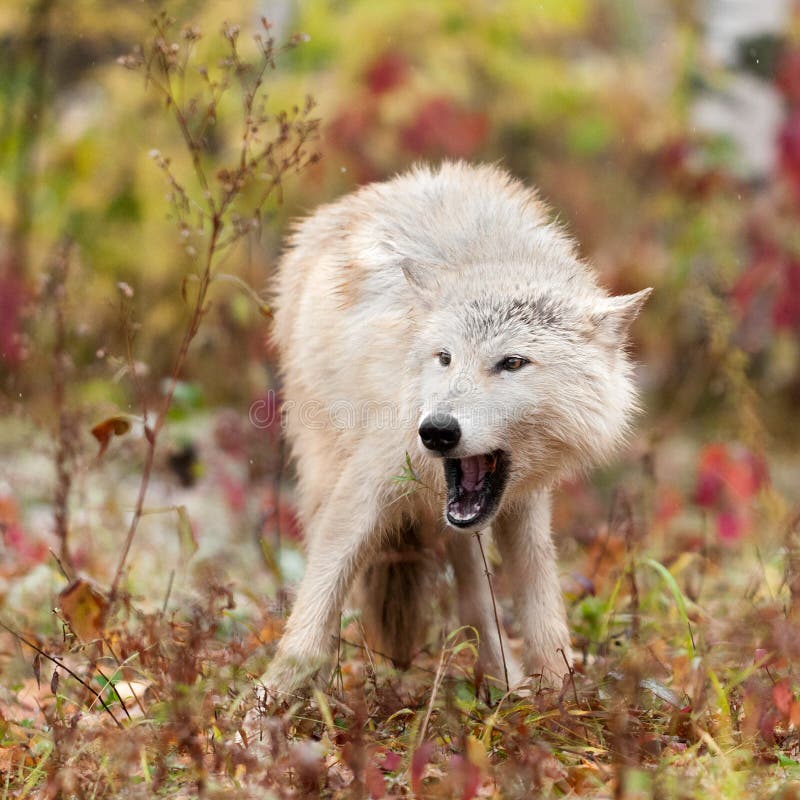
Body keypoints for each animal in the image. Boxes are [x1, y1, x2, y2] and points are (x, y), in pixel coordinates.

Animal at [265, 161, 650, 696]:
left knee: (475, 595)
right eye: (445, 358)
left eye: (512, 363)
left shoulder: (527, 503)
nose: (436, 431)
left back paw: (504, 683)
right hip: (327, 471)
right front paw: (262, 705)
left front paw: (560, 694)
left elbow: (542, 606)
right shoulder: (366, 484)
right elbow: (315, 606)